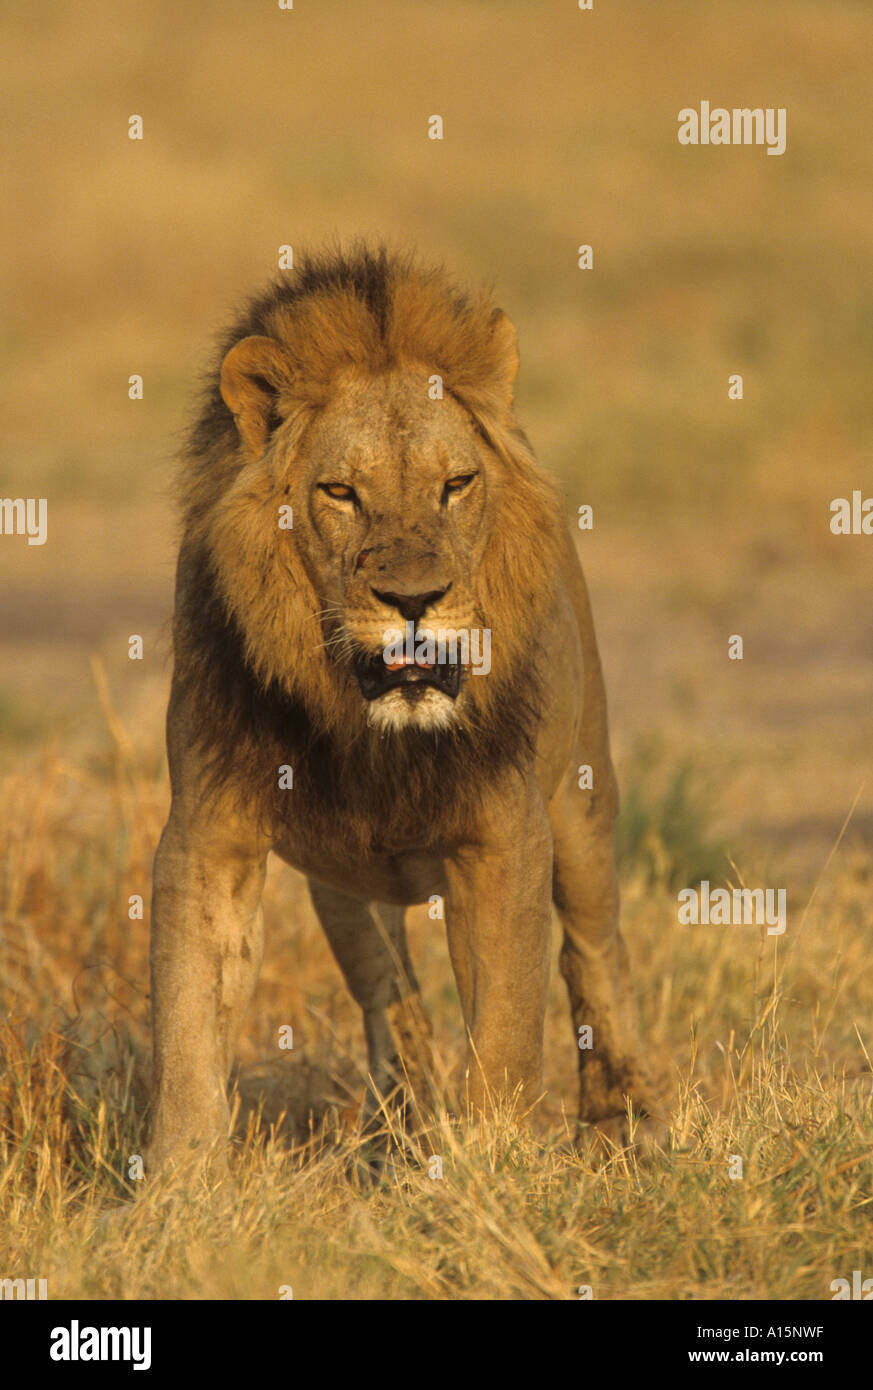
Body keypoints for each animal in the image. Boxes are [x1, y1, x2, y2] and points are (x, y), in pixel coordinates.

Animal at [148, 243, 668, 1169]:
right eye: (339, 493)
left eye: (455, 484)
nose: (415, 600)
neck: (370, 731)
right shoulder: (209, 835)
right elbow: (186, 1029)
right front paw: (176, 1186)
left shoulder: (504, 836)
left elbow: (505, 1034)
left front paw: (493, 1170)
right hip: (340, 888)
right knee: (390, 993)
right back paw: (397, 1130)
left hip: (583, 802)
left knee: (595, 946)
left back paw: (625, 1117)